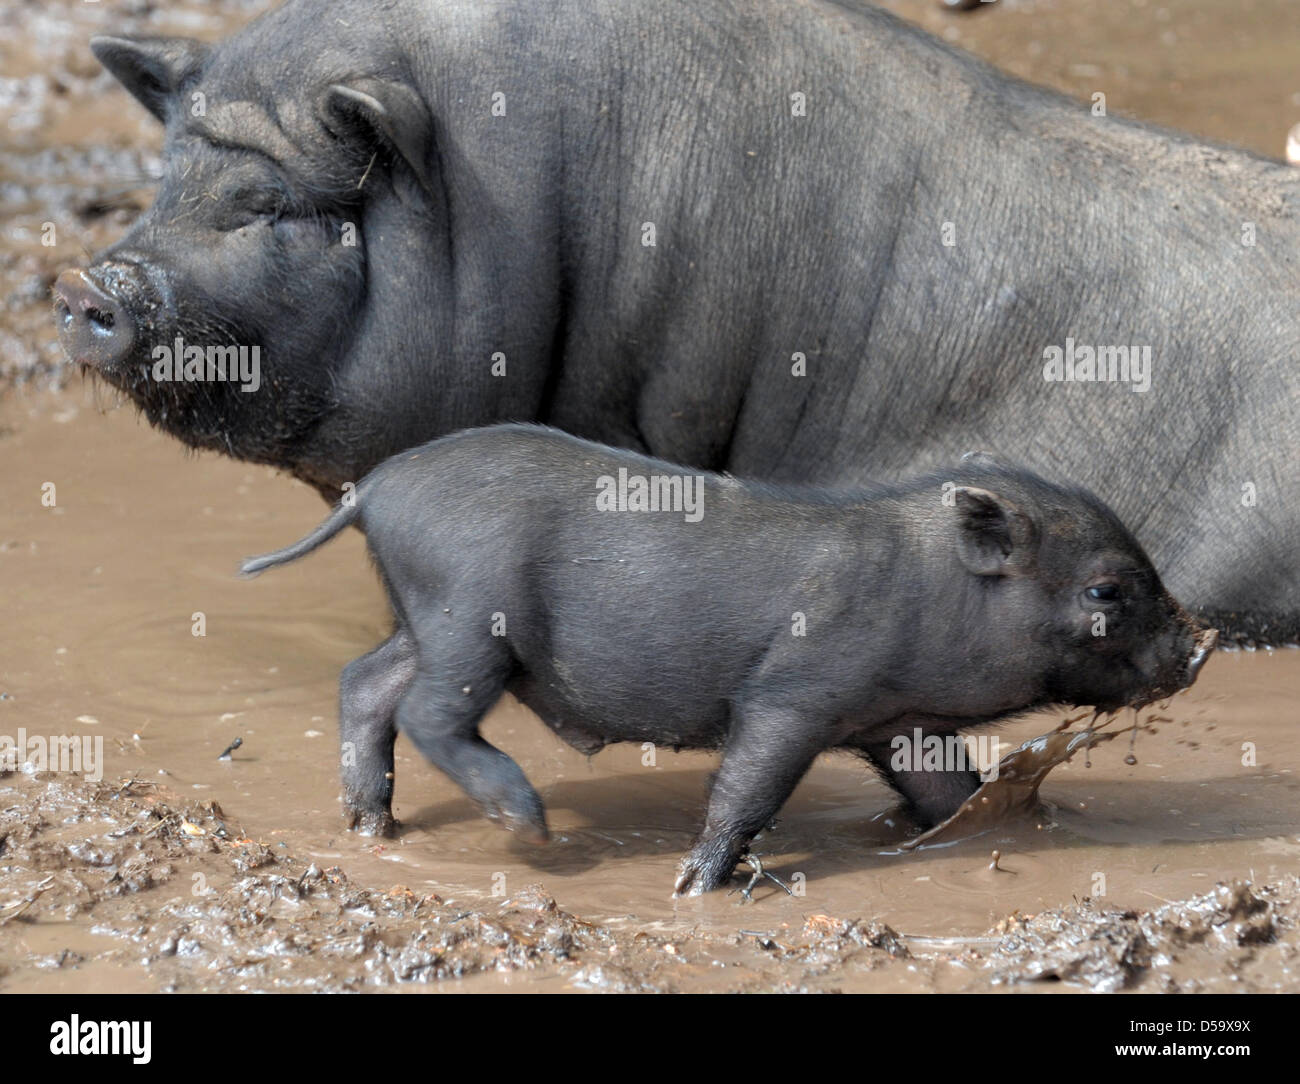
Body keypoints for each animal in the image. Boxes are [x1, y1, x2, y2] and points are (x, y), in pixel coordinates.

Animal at [241, 426, 1217, 895]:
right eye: (1105, 591)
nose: (1201, 643)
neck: (928, 588)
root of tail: (376, 486)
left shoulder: (896, 722)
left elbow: (947, 788)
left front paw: (984, 829)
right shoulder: (793, 698)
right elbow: (748, 791)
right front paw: (691, 887)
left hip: (423, 617)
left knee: (365, 685)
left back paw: (374, 829)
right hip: (466, 615)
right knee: (428, 711)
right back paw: (531, 828)